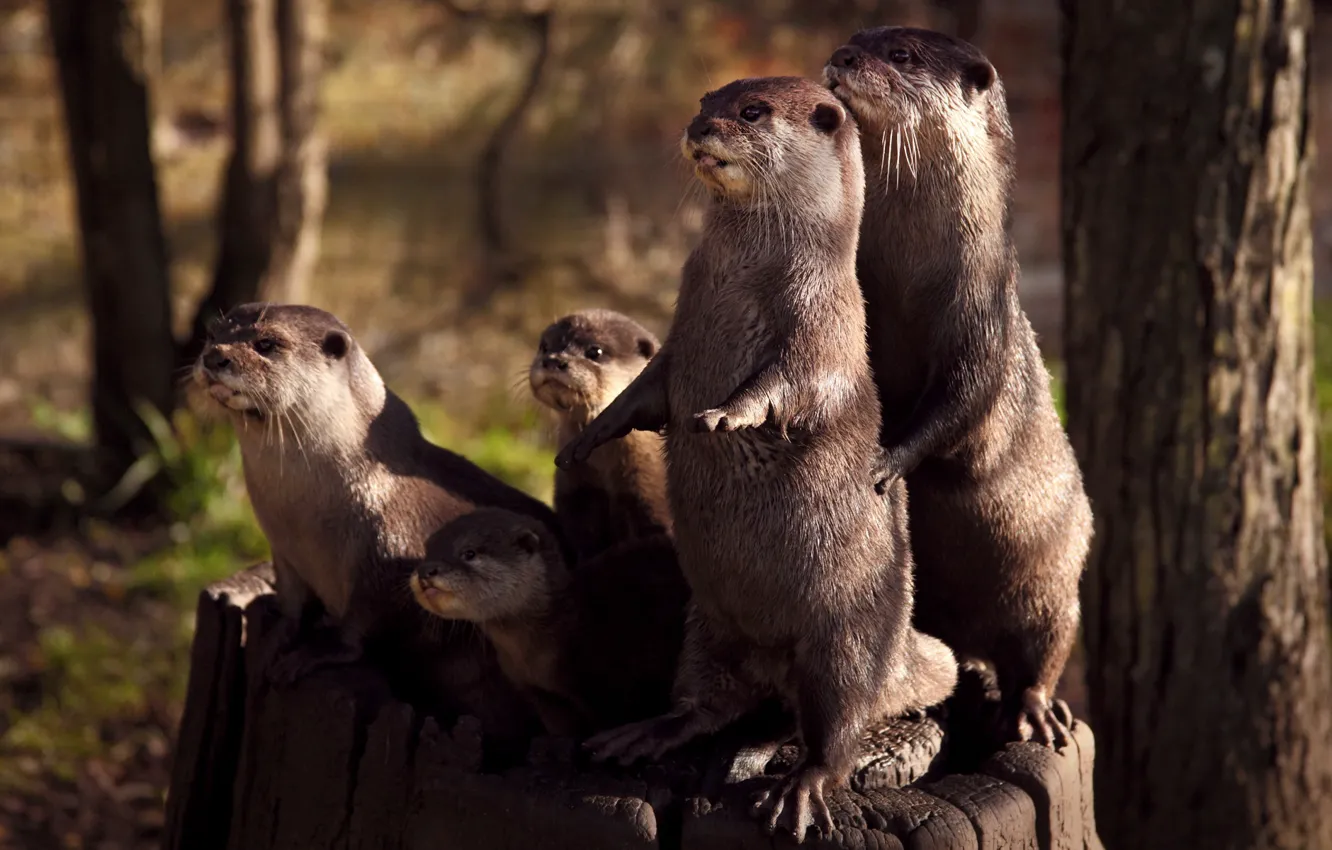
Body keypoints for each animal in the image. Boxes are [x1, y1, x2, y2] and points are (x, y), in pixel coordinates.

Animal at [190, 303, 569, 742]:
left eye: (266, 344)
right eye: (212, 334)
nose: (214, 356)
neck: (308, 518)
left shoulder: (390, 553)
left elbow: (363, 623)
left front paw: (315, 653)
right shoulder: (283, 549)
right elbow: (292, 598)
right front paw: (277, 635)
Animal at [554, 77, 958, 842]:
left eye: (751, 112)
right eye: (705, 100)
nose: (698, 128)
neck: (741, 278)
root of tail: (900, 651)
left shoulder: (824, 323)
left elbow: (788, 385)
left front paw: (726, 414)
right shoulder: (679, 332)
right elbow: (648, 390)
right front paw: (590, 438)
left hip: (848, 634)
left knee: (835, 729)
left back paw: (799, 790)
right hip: (705, 628)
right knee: (715, 705)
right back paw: (646, 733)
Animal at [824, 28, 1092, 748]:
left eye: (903, 56)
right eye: (857, 37)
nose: (843, 57)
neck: (910, 278)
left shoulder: (982, 319)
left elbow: (960, 404)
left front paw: (887, 459)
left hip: (1058, 577)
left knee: (1044, 648)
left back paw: (1034, 712)